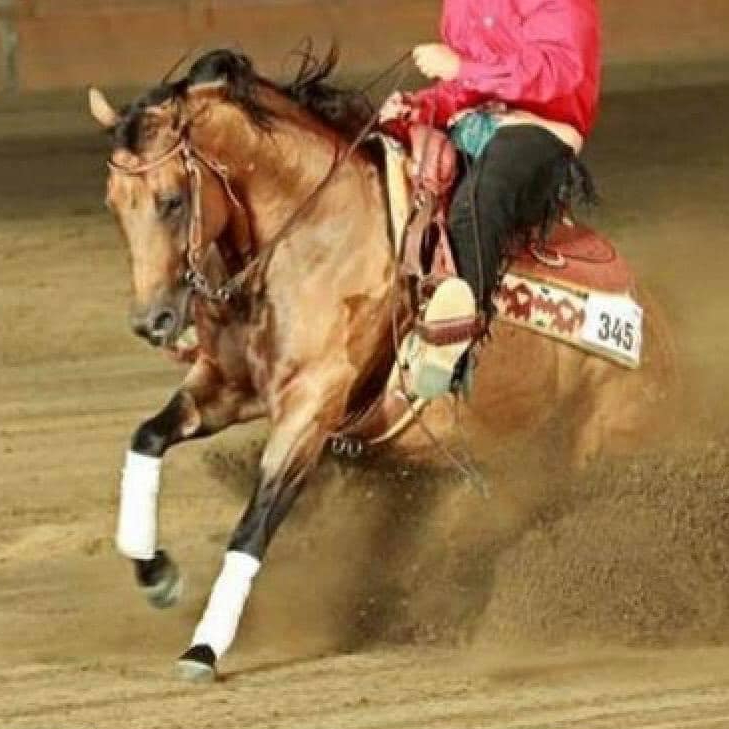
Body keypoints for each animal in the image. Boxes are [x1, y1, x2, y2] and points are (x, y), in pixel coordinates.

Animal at [87, 49, 676, 680]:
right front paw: (156, 574)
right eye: (114, 204)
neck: (312, 236)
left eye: (171, 202)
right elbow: (147, 437)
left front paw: (203, 648)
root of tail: (655, 329)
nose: (152, 321)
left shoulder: (311, 406)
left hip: (606, 448)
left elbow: (254, 524)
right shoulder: (226, 386)